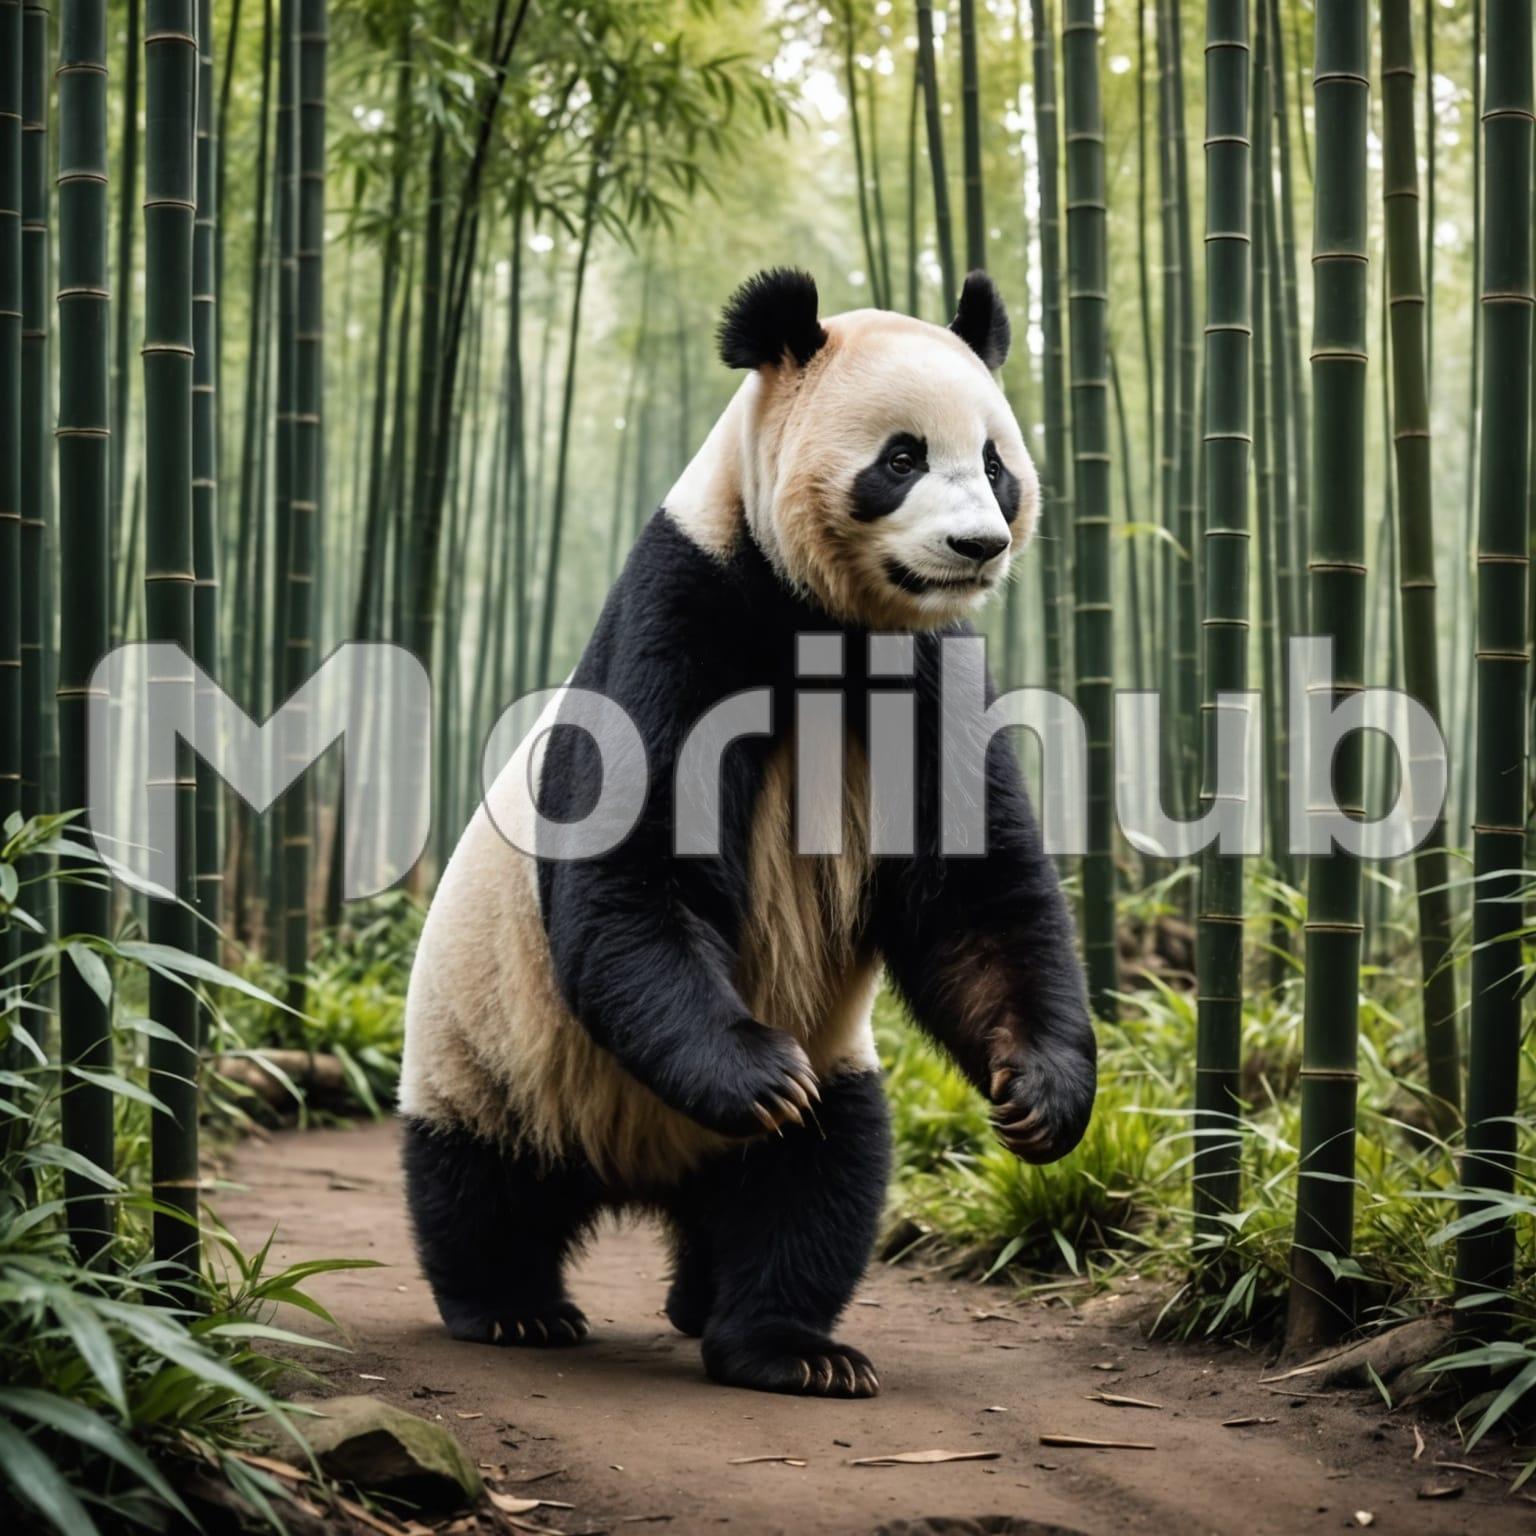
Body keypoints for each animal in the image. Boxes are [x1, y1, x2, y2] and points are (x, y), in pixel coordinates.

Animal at [399, 268, 1097, 1399]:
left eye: (995, 464)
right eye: (900, 460)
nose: (977, 547)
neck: (828, 623)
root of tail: (646, 1172)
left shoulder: (935, 672)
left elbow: (977, 897)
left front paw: (1038, 1096)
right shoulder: (687, 605)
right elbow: (630, 867)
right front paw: (756, 1075)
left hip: (834, 1057)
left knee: (816, 1177)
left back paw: (777, 1339)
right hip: (487, 1049)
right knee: (481, 1187)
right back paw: (515, 1309)